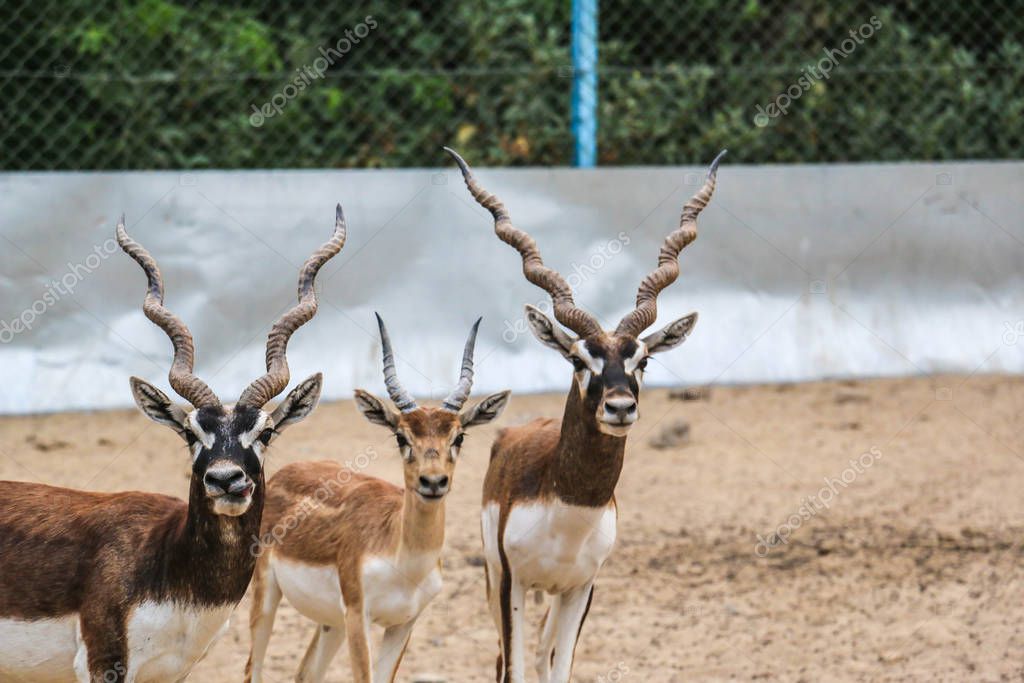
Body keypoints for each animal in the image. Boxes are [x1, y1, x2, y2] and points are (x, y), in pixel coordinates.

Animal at [0, 207, 345, 682]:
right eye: (190, 433)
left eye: (265, 432)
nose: (226, 480)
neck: (174, 572)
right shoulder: (102, 663)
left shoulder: (174, 670)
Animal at [244, 313, 511, 683]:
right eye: (400, 436)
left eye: (459, 436)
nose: (433, 481)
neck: (404, 561)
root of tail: (286, 471)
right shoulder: (359, 616)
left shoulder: (404, 624)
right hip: (267, 595)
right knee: (253, 668)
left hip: (331, 622)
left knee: (306, 671)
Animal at [445, 147, 725, 683]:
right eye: (578, 360)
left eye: (643, 360)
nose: (620, 407)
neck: (568, 509)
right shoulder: (512, 582)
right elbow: (515, 669)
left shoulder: (583, 588)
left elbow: (560, 670)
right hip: (495, 579)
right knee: (505, 659)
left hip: (554, 598)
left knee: (542, 655)